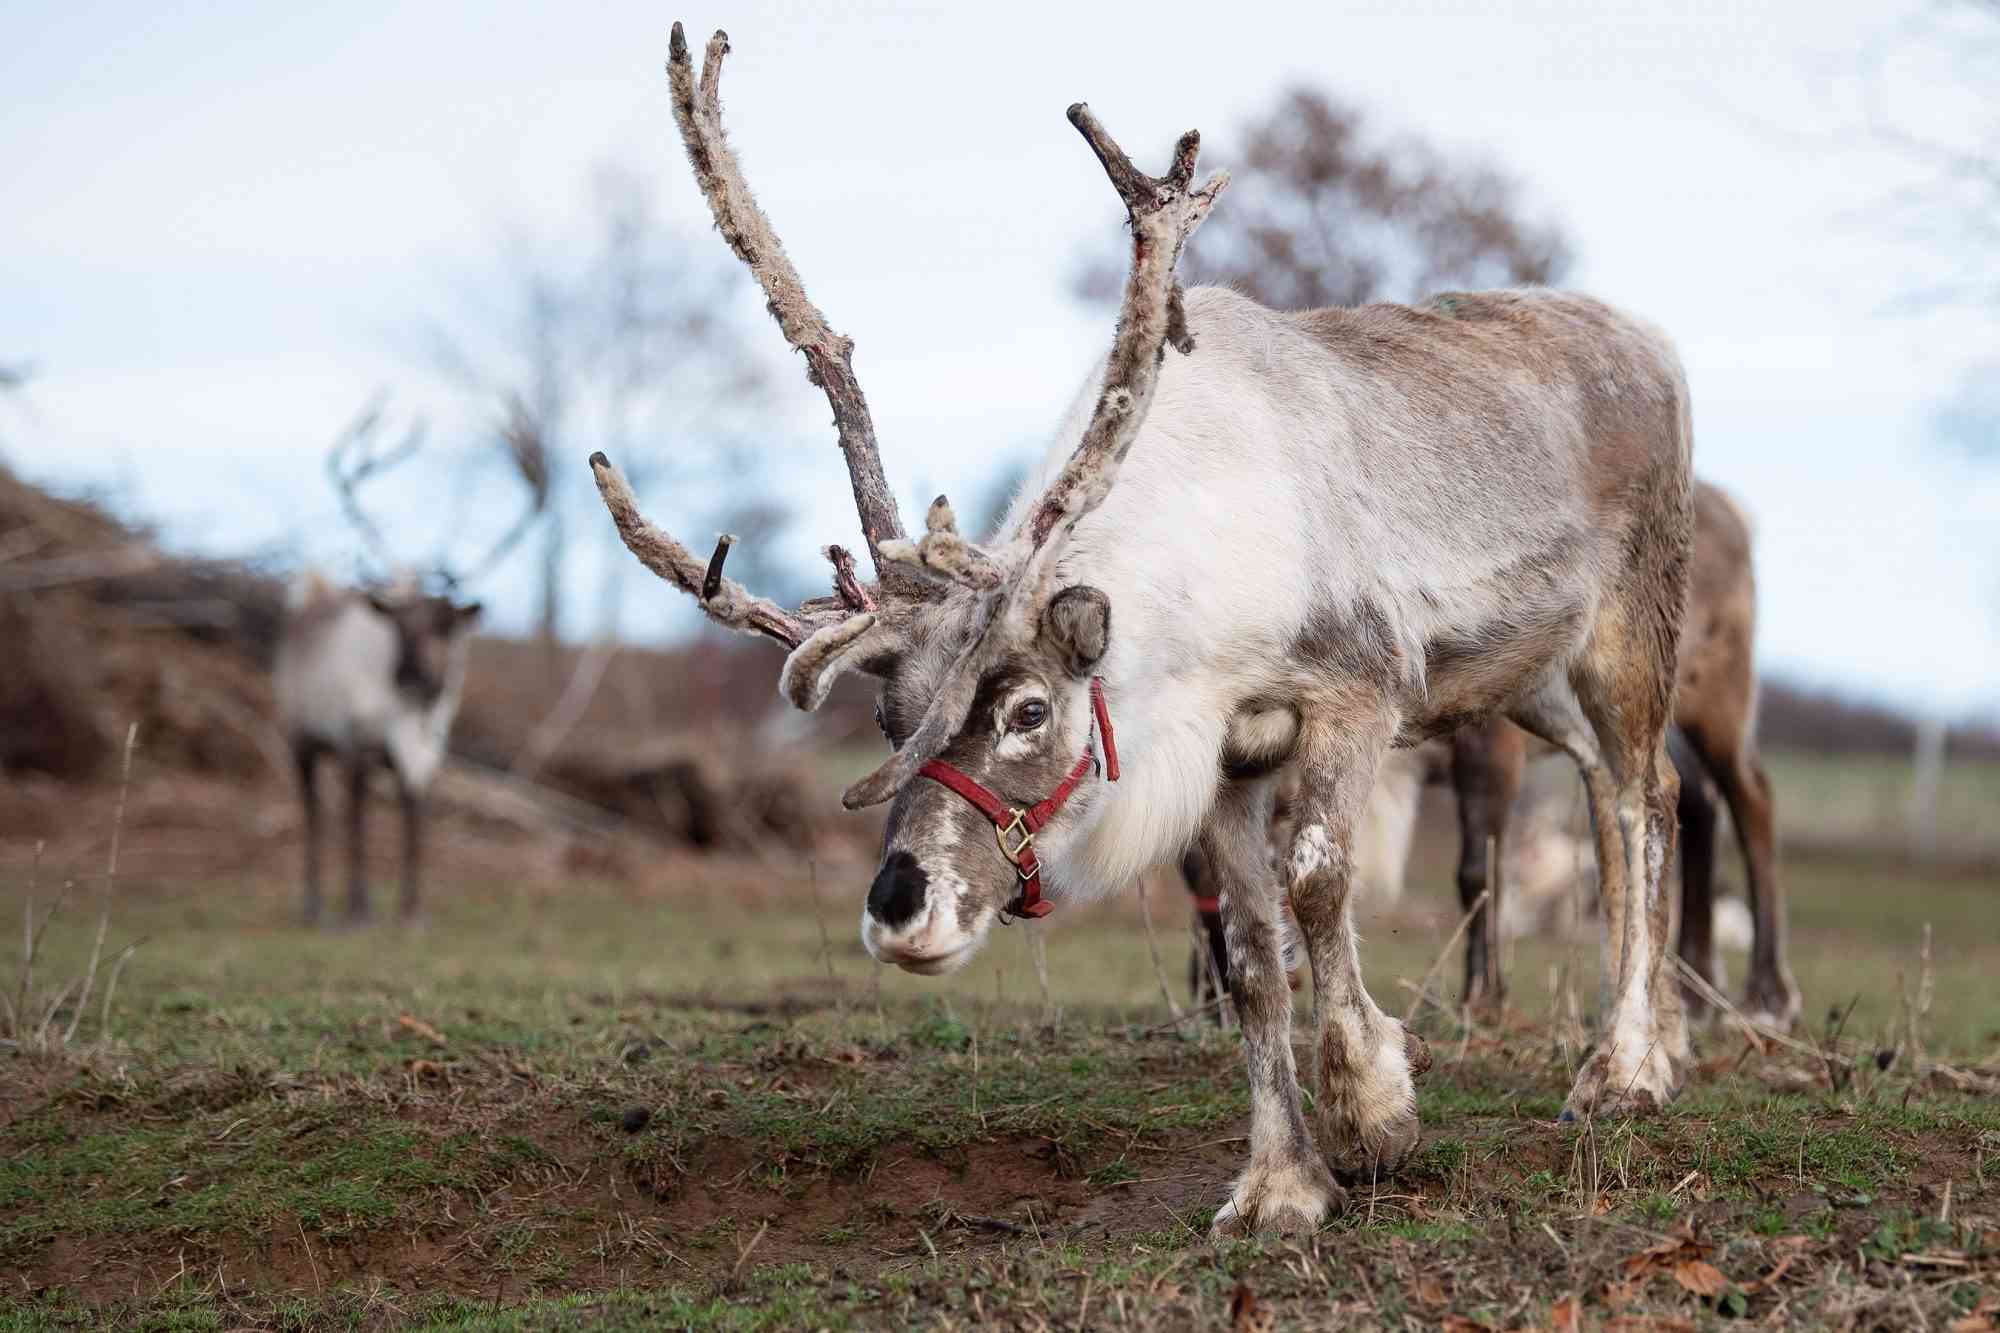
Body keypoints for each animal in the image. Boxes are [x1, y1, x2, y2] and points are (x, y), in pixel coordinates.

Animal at [273, 401, 533, 925]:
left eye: (446, 625)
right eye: (400, 626)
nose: (418, 675)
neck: (410, 715)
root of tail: (308, 604)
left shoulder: (425, 758)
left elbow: (415, 826)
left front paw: (412, 911)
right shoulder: (355, 748)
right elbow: (357, 825)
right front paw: (359, 909)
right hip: (301, 738)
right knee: (315, 814)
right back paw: (314, 905)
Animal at [595, 24, 1694, 1237]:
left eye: (1029, 709)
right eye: (889, 716)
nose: (897, 909)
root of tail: (1652, 341)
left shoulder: (1356, 690)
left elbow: (1317, 881)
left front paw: (1374, 1115)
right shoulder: (1221, 755)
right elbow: (1253, 954)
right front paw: (1278, 1183)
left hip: (1629, 629)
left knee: (1644, 798)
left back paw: (1623, 1071)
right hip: (1529, 679)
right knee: (1615, 793)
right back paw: (1653, 1050)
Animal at [1186, 480, 1801, 1031]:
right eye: (1192, 876)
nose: (1214, 1000)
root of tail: (1734, 511)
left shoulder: (1492, 739)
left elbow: (1477, 871)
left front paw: (1483, 998)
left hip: (1711, 691)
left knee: (1750, 796)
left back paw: (1767, 995)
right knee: (1696, 806)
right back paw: (1699, 992)